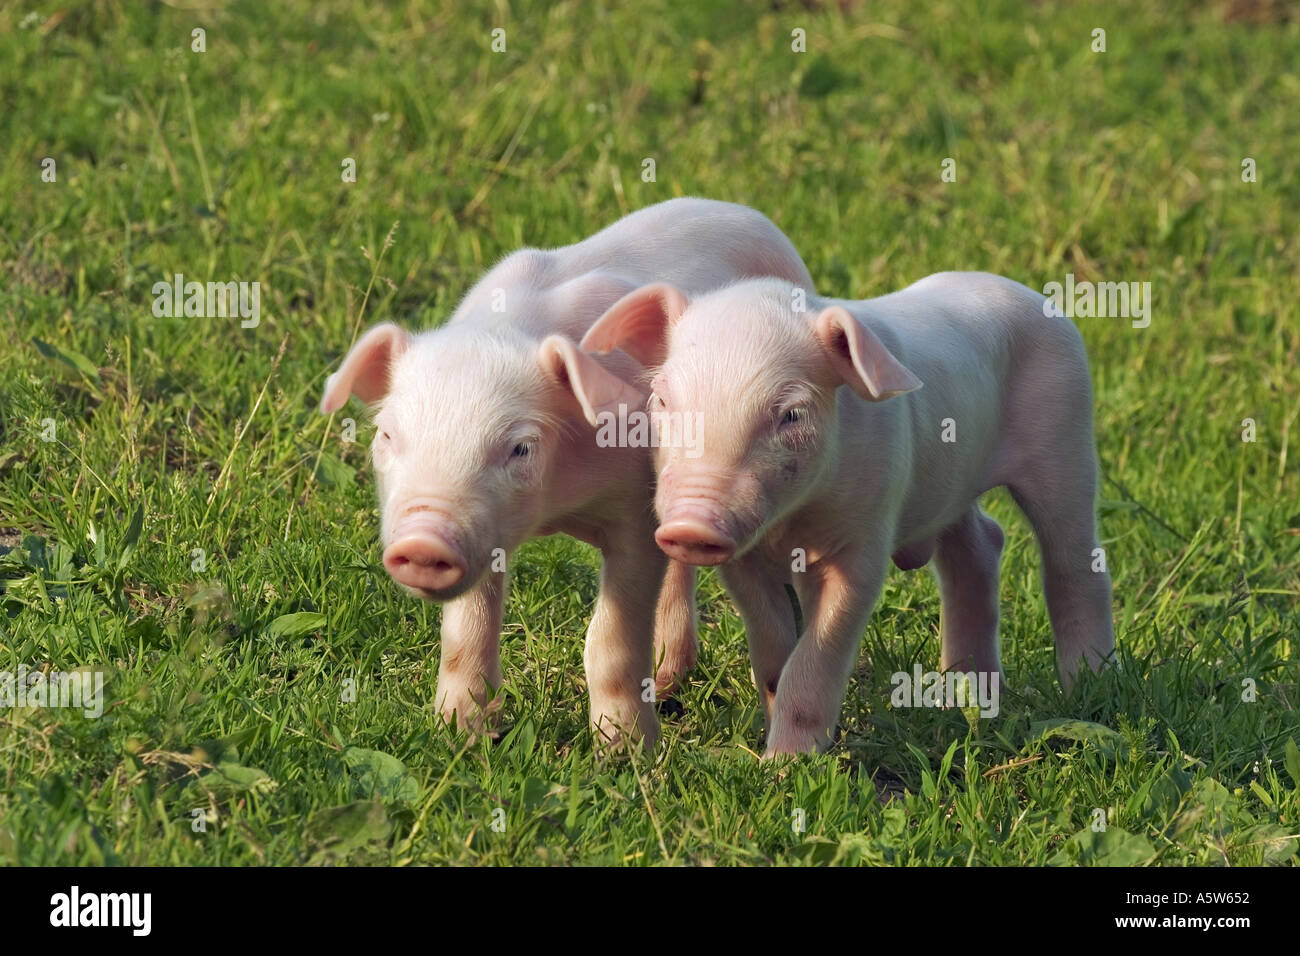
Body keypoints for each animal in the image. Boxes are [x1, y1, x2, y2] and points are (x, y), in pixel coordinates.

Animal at [319, 198, 813, 750]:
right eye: (386, 435)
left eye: (520, 447)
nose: (423, 540)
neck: (556, 511)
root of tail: (741, 210)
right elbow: (466, 629)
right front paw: (461, 736)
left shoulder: (635, 511)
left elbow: (611, 638)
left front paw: (625, 752)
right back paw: (669, 684)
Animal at [580, 272, 1116, 755]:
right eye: (662, 399)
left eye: (792, 415)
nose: (690, 525)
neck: (788, 527)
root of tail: (1028, 295)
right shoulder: (744, 558)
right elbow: (771, 644)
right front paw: (772, 722)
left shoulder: (863, 539)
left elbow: (818, 653)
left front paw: (784, 767)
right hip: (951, 485)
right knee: (982, 546)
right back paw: (963, 693)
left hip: (1066, 434)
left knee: (1074, 561)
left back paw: (1089, 686)